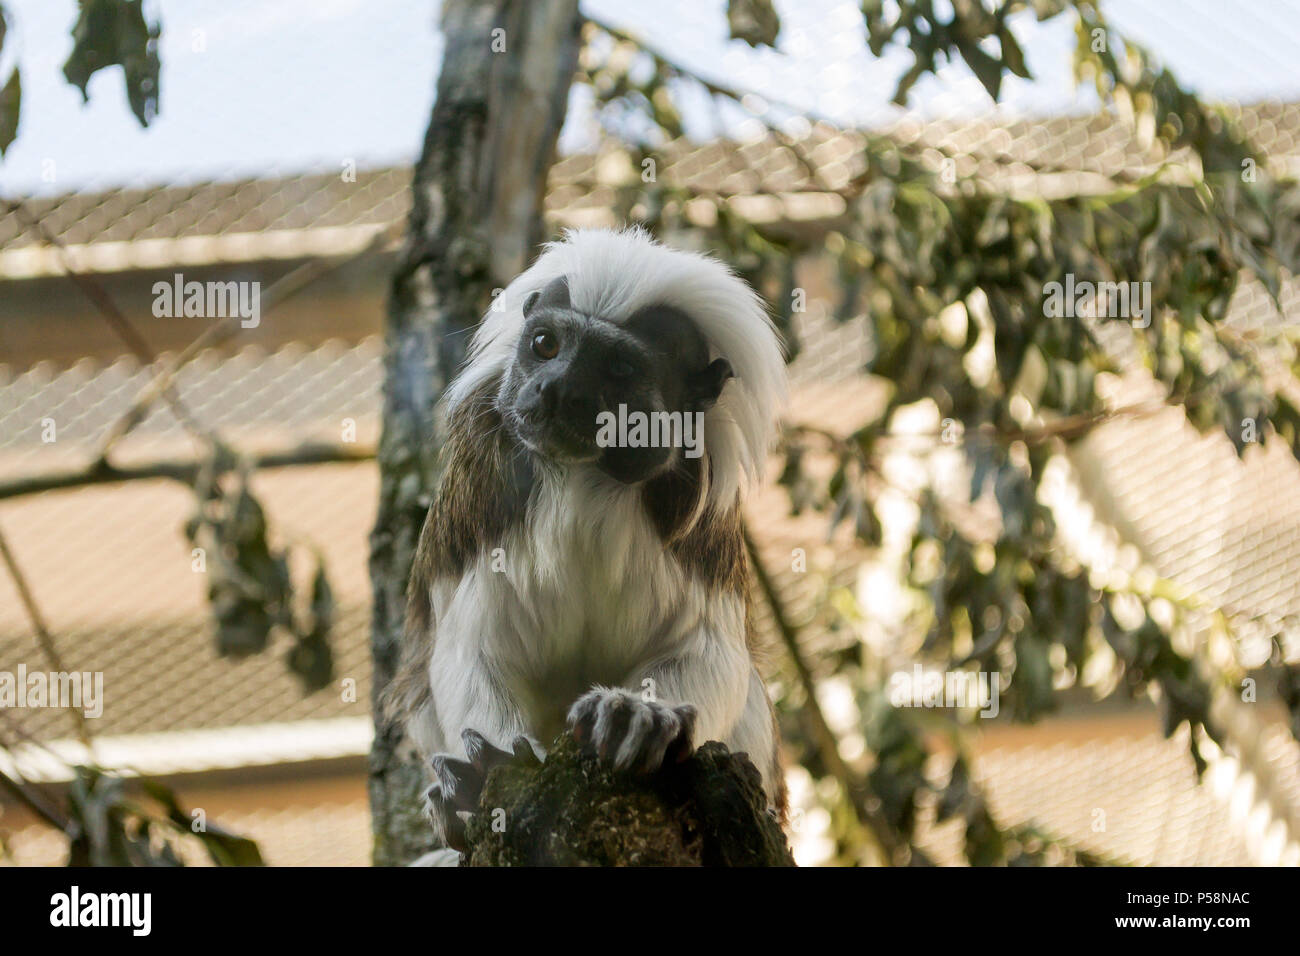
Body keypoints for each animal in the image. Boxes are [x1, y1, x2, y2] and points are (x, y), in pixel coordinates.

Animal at [384, 227, 788, 859]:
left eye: (618, 368)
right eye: (545, 344)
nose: (555, 389)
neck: (585, 476)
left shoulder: (700, 538)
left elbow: (711, 653)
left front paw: (638, 717)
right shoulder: (482, 505)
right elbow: (473, 650)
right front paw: (481, 777)